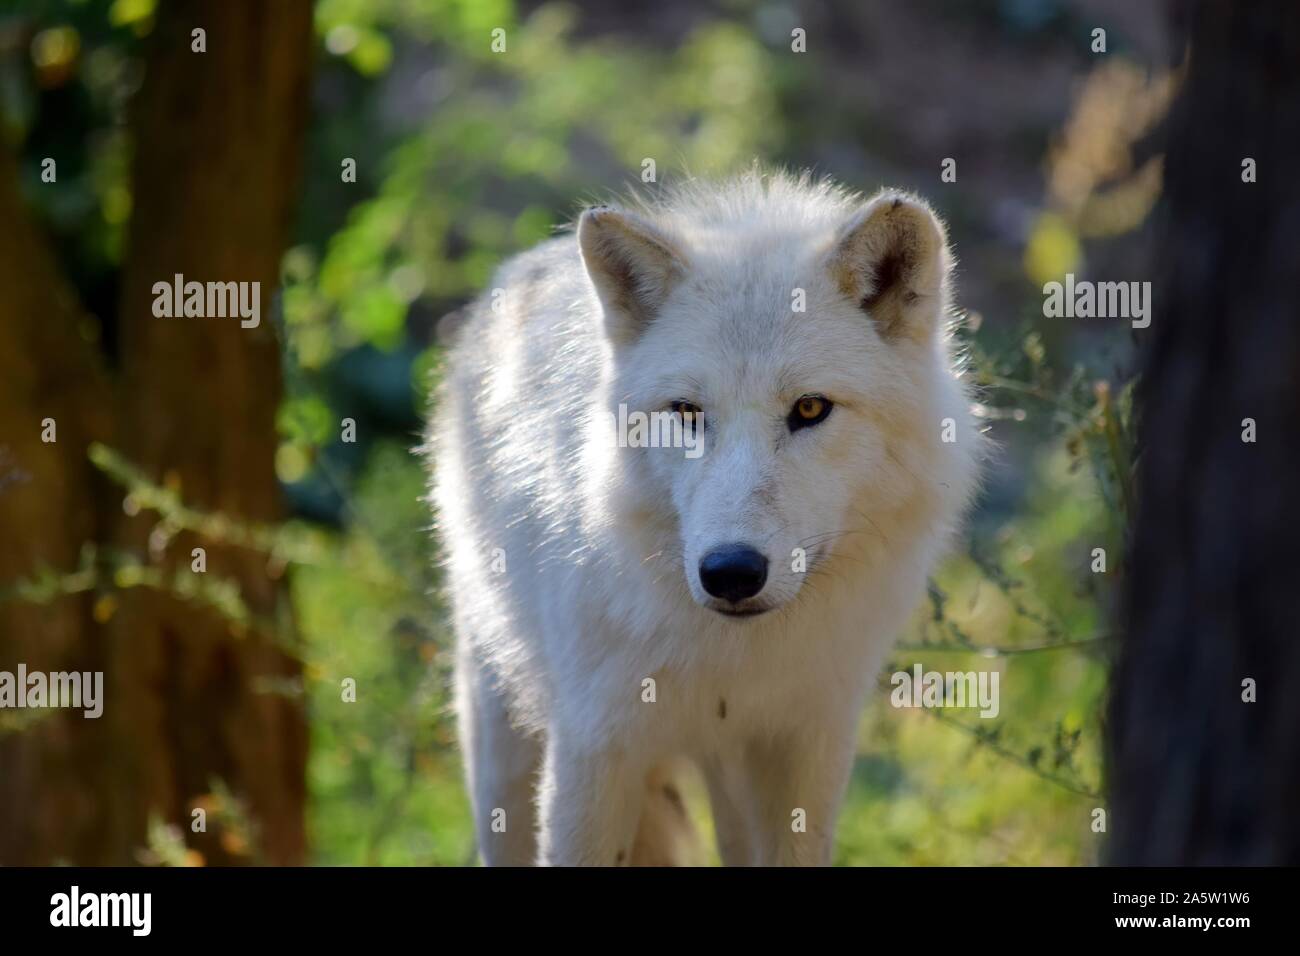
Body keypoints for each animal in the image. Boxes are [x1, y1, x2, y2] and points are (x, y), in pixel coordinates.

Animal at [428, 169, 980, 866]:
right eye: (687, 412)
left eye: (810, 408)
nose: (731, 572)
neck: (732, 658)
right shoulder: (592, 749)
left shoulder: (808, 743)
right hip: (499, 754)